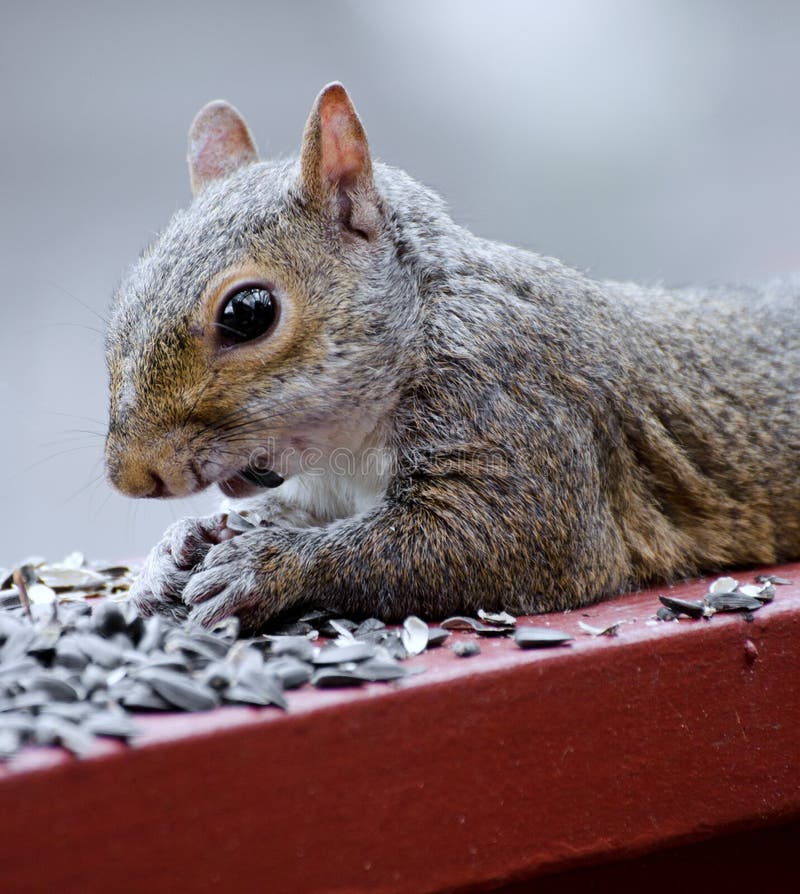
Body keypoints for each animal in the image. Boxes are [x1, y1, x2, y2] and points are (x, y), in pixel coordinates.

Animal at [104, 82, 800, 631]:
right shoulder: (329, 483)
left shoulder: (518, 412)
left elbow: (485, 540)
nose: (133, 477)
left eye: (248, 312)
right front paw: (182, 546)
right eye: (127, 291)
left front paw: (264, 565)